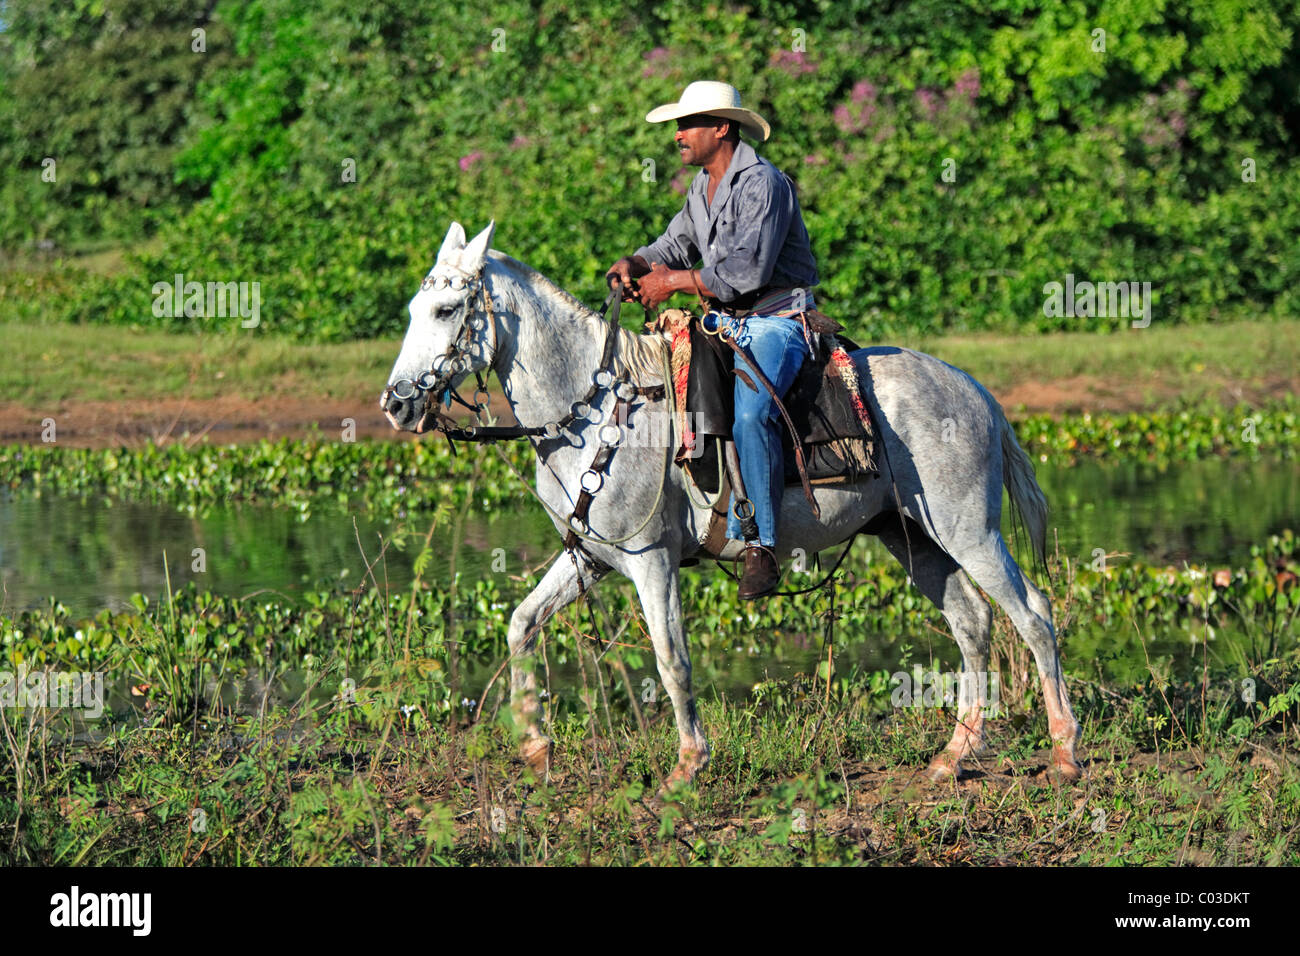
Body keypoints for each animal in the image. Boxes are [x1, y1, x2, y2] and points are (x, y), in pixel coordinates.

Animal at [380, 221, 1083, 788]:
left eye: (447, 308)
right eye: (414, 306)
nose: (395, 403)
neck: (594, 406)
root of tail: (975, 391)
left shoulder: (651, 559)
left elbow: (671, 659)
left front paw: (688, 765)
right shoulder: (591, 559)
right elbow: (521, 623)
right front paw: (534, 749)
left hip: (970, 532)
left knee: (1033, 614)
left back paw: (1064, 753)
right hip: (909, 534)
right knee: (972, 621)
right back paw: (954, 755)